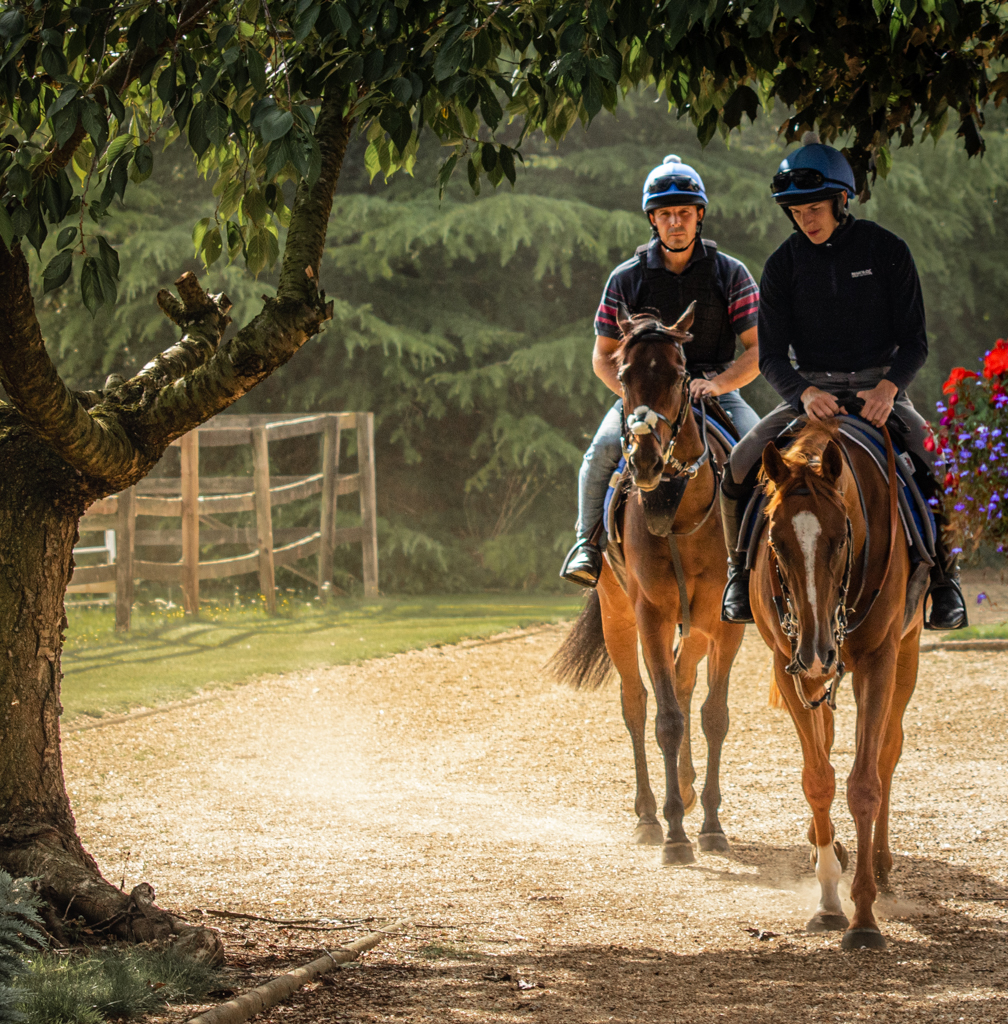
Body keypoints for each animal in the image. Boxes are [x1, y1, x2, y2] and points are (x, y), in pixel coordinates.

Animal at [550, 305, 746, 864]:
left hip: (696, 627)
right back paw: (647, 817)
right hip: (618, 617)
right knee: (636, 705)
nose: (644, 460)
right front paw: (676, 832)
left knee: (682, 685)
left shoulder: (723, 623)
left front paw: (711, 825)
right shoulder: (651, 615)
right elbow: (666, 720)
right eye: (622, 374)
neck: (677, 508)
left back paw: (686, 788)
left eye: (680, 374)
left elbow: (712, 715)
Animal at [751, 419, 922, 949]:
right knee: (825, 742)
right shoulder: (787, 664)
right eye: (776, 541)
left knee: (889, 751)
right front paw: (828, 898)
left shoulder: (879, 659)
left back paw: (882, 867)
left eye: (841, 538)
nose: (817, 649)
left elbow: (865, 783)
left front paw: (863, 915)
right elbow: (818, 778)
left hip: (904, 655)